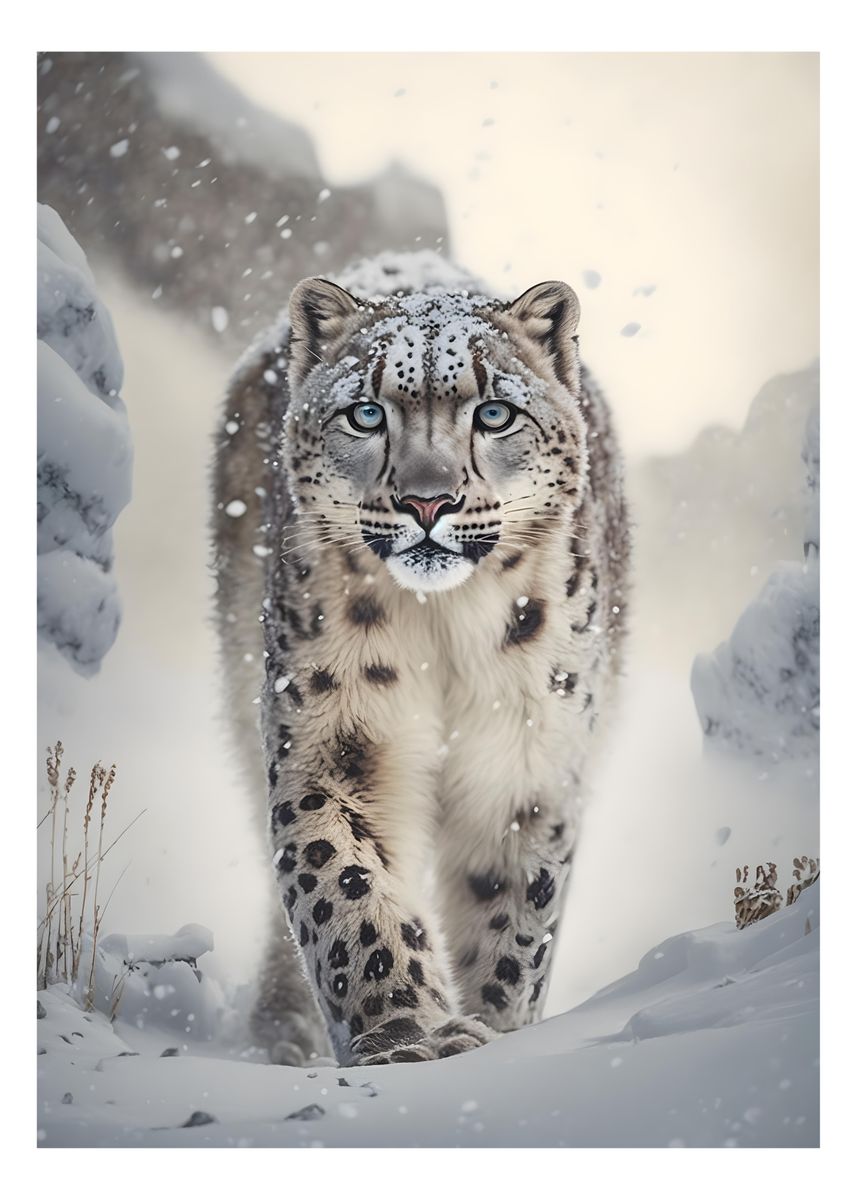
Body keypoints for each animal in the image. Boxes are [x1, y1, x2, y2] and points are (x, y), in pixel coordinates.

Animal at [211, 250, 630, 1067]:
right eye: (365, 413)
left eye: (494, 412)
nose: (428, 501)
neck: (443, 631)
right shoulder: (331, 743)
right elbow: (343, 886)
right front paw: (405, 1039)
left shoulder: (528, 753)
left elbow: (515, 909)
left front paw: (495, 1032)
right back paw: (283, 1027)